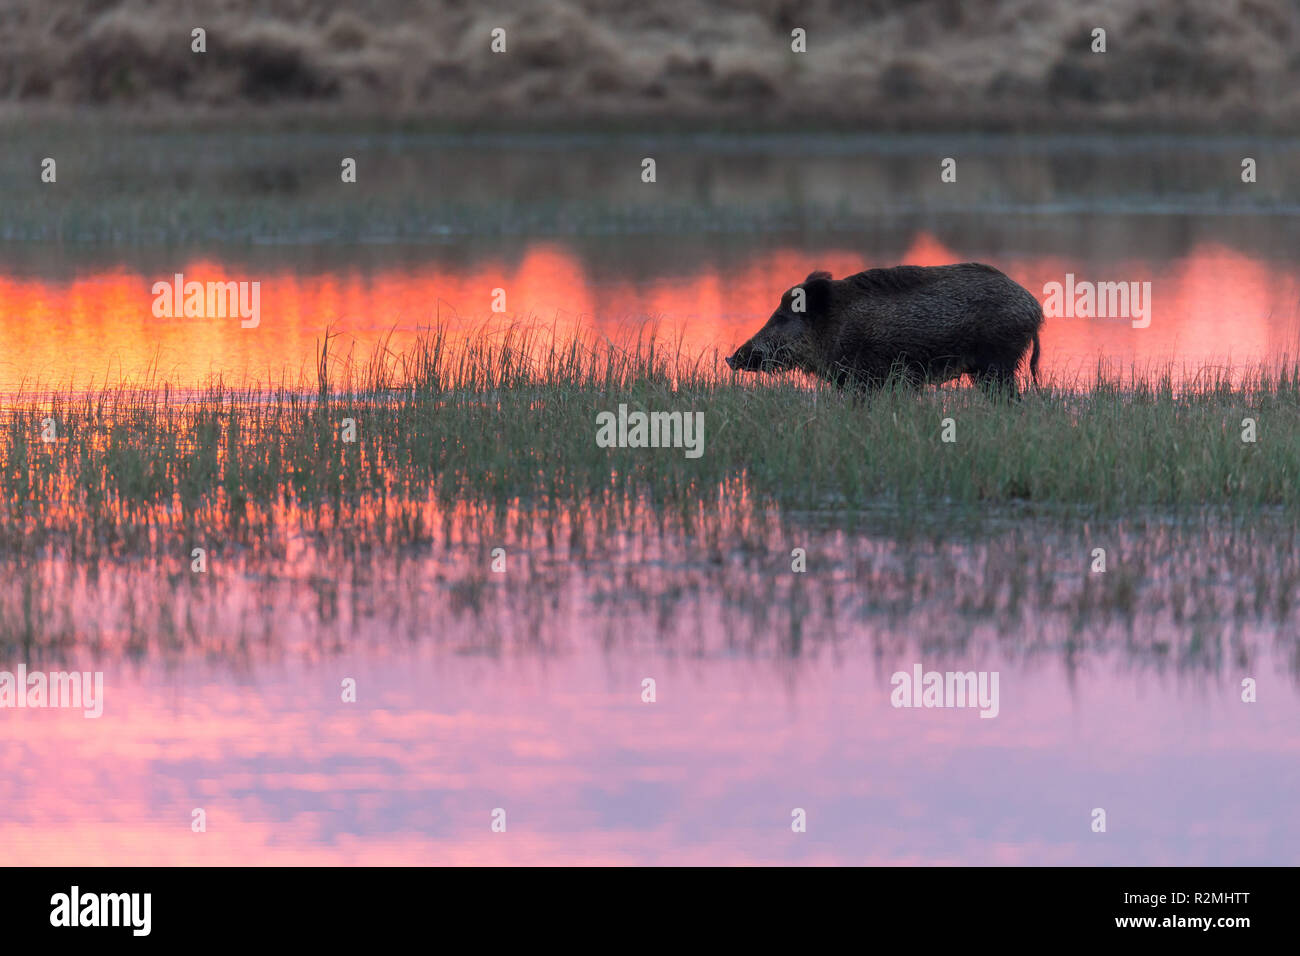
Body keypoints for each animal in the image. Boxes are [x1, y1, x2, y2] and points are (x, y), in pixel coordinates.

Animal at [726, 263, 1043, 396]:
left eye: (781, 317)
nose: (730, 358)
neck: (833, 326)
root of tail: (1034, 308)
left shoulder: (863, 377)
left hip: (997, 364)